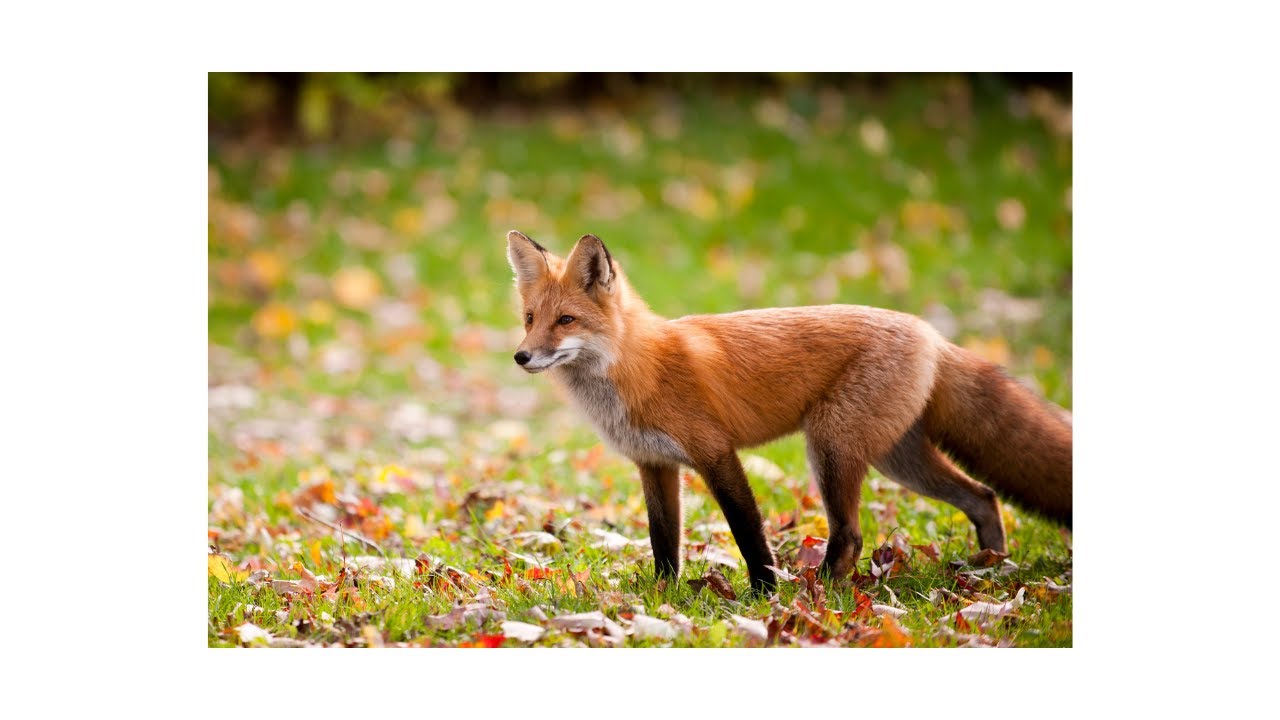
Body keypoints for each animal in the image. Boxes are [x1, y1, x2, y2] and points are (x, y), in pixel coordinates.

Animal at [506, 230, 1071, 595]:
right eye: (530, 319)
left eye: (566, 320)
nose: (521, 356)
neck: (637, 366)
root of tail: (930, 332)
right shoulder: (655, 464)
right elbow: (663, 540)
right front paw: (663, 596)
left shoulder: (715, 453)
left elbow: (748, 532)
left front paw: (763, 593)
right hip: (897, 459)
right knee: (984, 496)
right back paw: (989, 566)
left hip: (831, 447)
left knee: (852, 535)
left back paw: (817, 593)